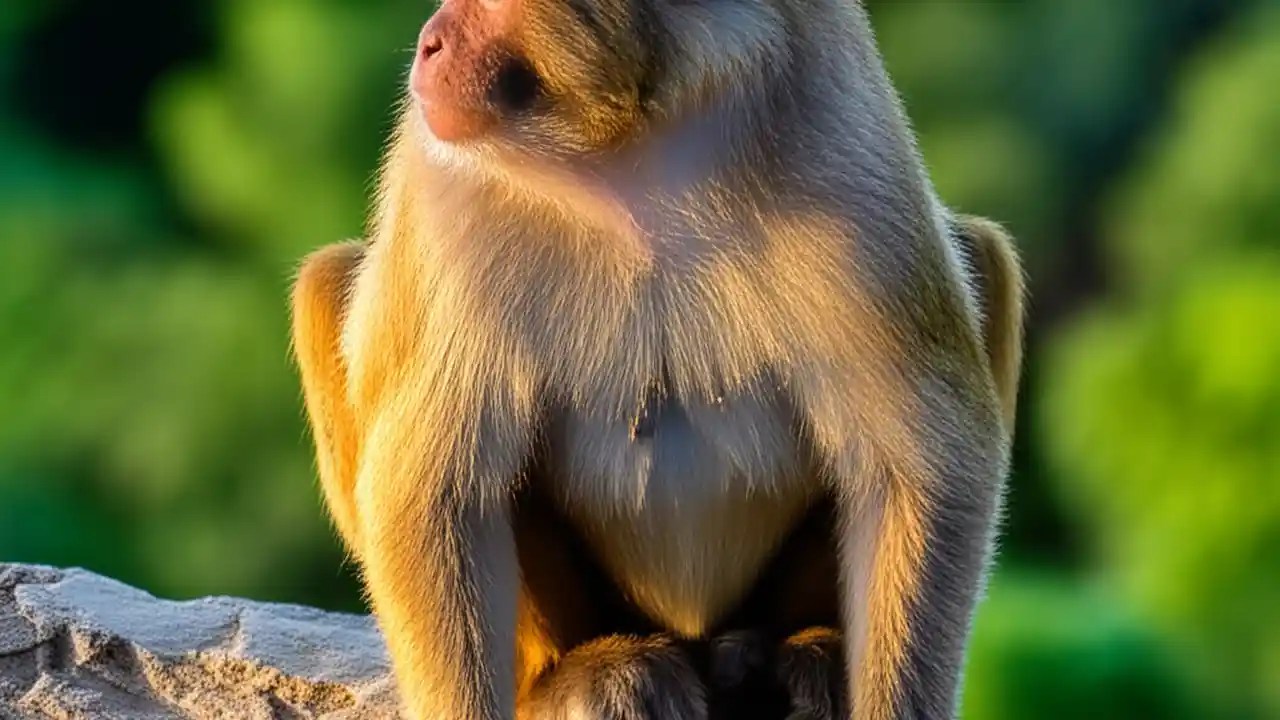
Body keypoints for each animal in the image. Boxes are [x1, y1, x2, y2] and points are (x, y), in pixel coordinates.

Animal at [289, 0, 1026, 716]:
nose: (429, 43)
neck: (634, 151)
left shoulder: (842, 139)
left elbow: (921, 473)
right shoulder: (443, 189)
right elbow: (438, 494)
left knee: (982, 251)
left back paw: (792, 649)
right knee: (326, 282)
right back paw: (578, 674)